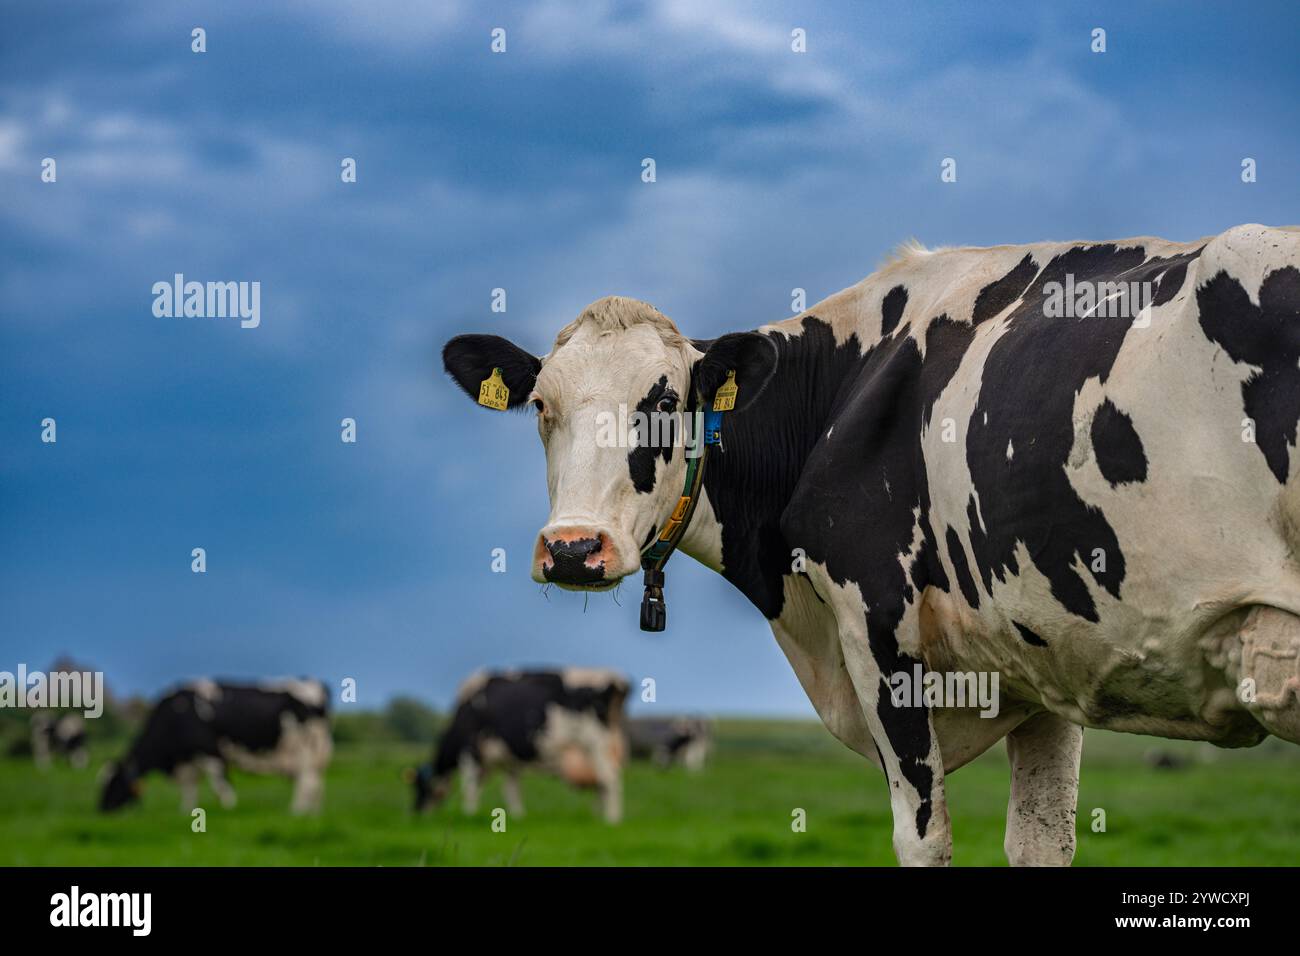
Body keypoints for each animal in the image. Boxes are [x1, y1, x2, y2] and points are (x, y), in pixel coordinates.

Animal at [100, 679, 332, 814]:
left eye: (114, 783)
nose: (100, 809)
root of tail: (314, 685)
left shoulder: (210, 752)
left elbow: (220, 784)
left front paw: (229, 808)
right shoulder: (188, 760)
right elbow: (189, 787)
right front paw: (186, 811)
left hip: (303, 749)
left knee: (307, 781)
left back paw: (297, 811)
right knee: (317, 783)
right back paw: (313, 812)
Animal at [411, 668, 628, 823]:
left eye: (420, 786)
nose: (416, 812)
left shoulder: (470, 750)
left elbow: (470, 786)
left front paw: (468, 813)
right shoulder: (508, 760)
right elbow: (511, 789)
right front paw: (517, 816)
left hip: (596, 743)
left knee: (608, 780)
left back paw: (611, 820)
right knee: (603, 782)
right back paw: (599, 816)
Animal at [442, 224, 1300, 865]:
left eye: (664, 401)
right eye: (541, 406)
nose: (573, 550)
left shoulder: (878, 631)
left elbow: (923, 838)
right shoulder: (1042, 654)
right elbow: (1040, 842)